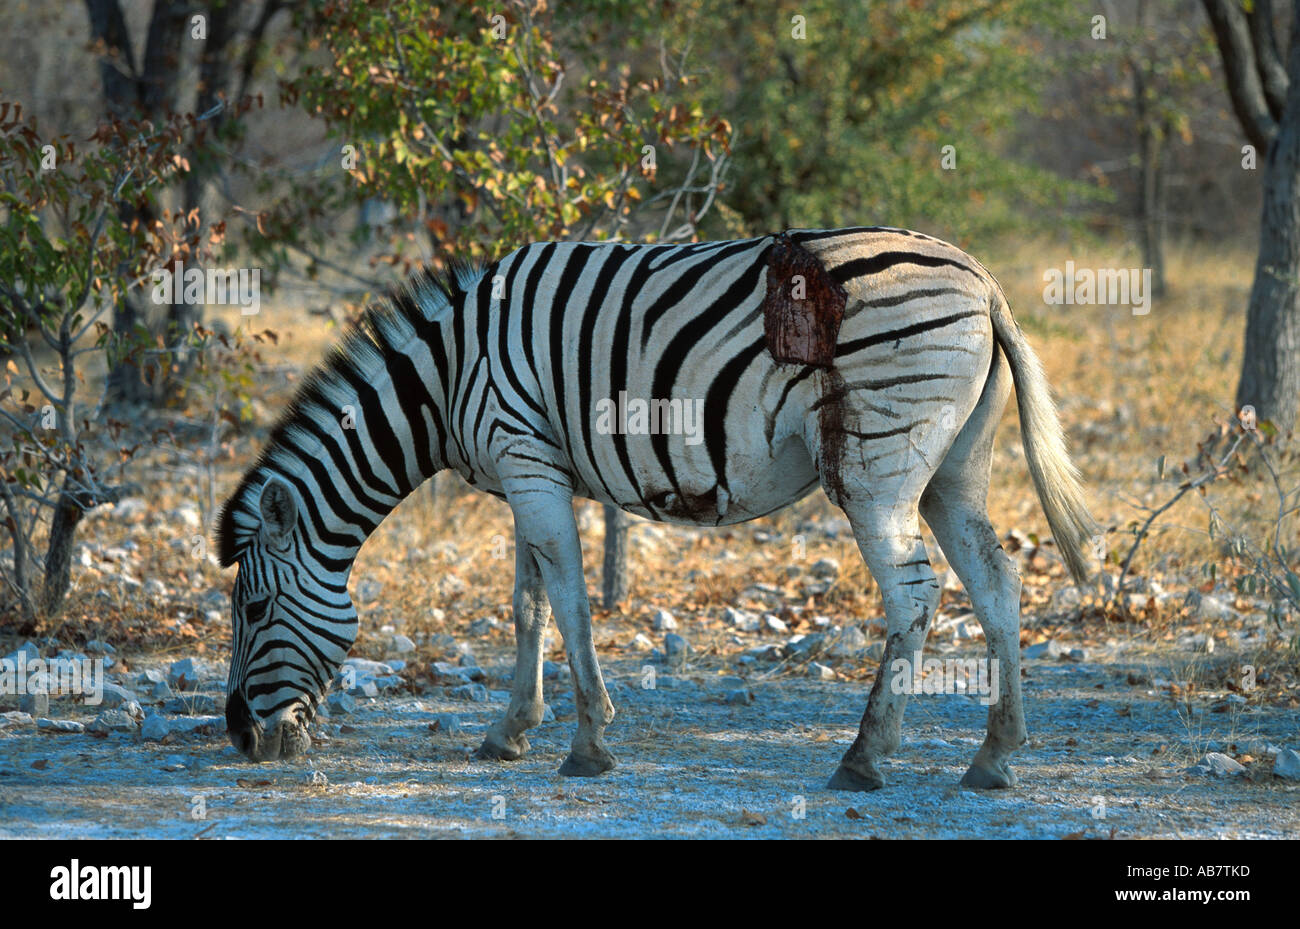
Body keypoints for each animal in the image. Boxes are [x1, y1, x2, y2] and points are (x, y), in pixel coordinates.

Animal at [217, 226, 1096, 790]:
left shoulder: (526, 455)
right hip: (953, 468)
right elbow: (527, 602)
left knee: (915, 593)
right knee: (996, 580)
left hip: (877, 460)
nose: (241, 738)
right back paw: (994, 757)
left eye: (253, 609)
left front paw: (588, 742)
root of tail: (982, 280)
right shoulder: (527, 468)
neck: (447, 377)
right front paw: (509, 731)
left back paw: (864, 758)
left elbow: (567, 599)